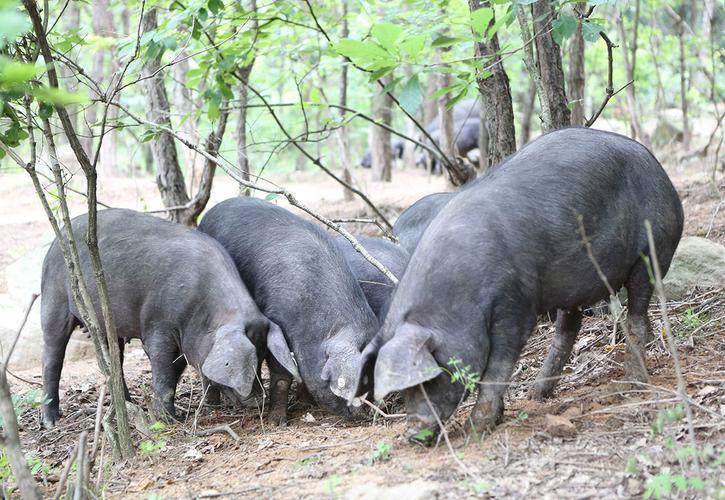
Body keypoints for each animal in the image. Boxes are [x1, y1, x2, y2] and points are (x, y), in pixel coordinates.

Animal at [40, 209, 297, 428]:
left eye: (263, 357)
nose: (258, 399)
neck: (205, 312)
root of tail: (55, 241)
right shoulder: (158, 325)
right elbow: (163, 374)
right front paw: (169, 421)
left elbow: (177, 372)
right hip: (53, 300)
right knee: (52, 357)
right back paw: (51, 422)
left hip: (106, 327)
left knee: (113, 362)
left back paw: (128, 406)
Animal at [198, 198, 378, 424]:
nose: (366, 412)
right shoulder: (277, 320)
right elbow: (282, 375)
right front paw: (276, 422)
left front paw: (305, 404)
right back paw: (214, 407)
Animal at [354, 128, 684, 443]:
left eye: (432, 377)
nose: (413, 433)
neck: (457, 302)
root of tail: (660, 170)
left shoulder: (515, 305)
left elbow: (497, 366)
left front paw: (476, 429)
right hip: (572, 283)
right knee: (568, 329)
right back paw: (537, 394)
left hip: (652, 251)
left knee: (637, 314)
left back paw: (633, 383)